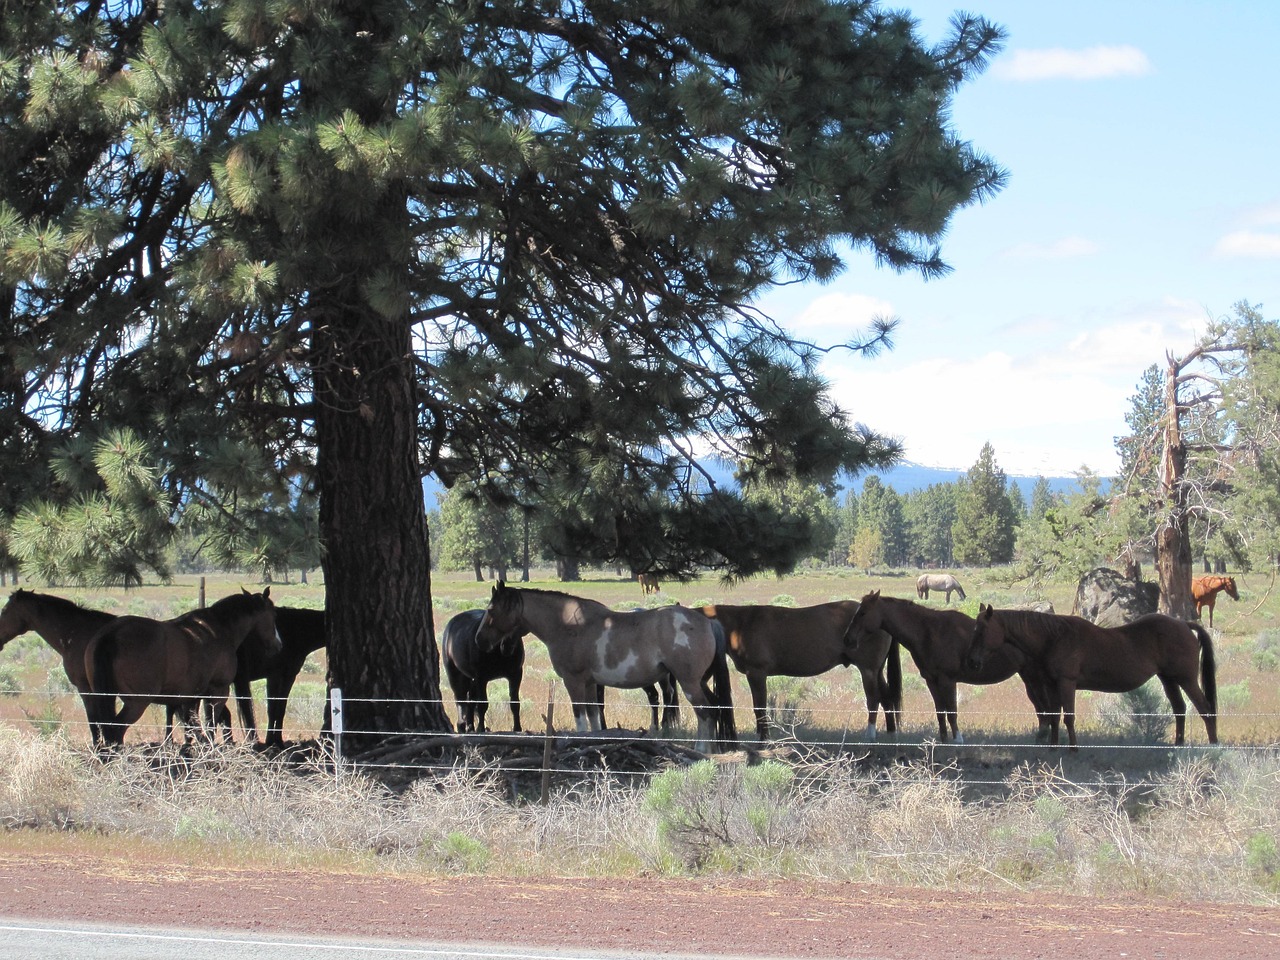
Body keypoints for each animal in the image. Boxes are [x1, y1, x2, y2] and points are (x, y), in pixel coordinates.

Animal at [84, 589, 282, 750]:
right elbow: (210, 724)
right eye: (272, 614)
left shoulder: (191, 696)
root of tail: (111, 635)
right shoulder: (218, 691)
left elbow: (195, 725)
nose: (277, 645)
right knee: (116, 731)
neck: (218, 628)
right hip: (136, 703)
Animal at [475, 582, 735, 752]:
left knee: (705, 712)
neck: (568, 625)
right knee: (715, 708)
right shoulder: (590, 684)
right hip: (699, 681)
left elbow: (580, 718)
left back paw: (701, 750)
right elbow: (594, 719)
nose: (480, 640)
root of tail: (707, 622)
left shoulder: (574, 682)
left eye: (490, 610)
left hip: (689, 683)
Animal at [700, 600, 900, 741]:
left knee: (873, 699)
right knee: (887, 698)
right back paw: (891, 735)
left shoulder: (756, 673)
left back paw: (870, 736)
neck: (741, 625)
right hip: (877, 671)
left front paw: (764, 739)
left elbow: (760, 707)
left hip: (868, 670)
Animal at [845, 591, 1052, 743]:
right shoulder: (932, 680)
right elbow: (940, 711)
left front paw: (958, 739)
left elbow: (951, 711)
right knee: (1042, 710)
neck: (929, 631)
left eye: (862, 613)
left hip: (1035, 678)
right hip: (1029, 678)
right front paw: (944, 739)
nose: (848, 639)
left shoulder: (947, 680)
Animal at [966, 604, 1217, 750]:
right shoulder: (1052, 685)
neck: (1053, 638)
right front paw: (1053, 747)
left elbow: (1068, 717)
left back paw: (1213, 745)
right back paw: (1178, 746)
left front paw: (1073, 749)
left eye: (982, 630)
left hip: (1186, 679)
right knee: (1180, 709)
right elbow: (1055, 717)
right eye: (974, 630)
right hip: (1168, 680)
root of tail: (1183, 624)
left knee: (1205, 709)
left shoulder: (1066, 683)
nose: (973, 662)